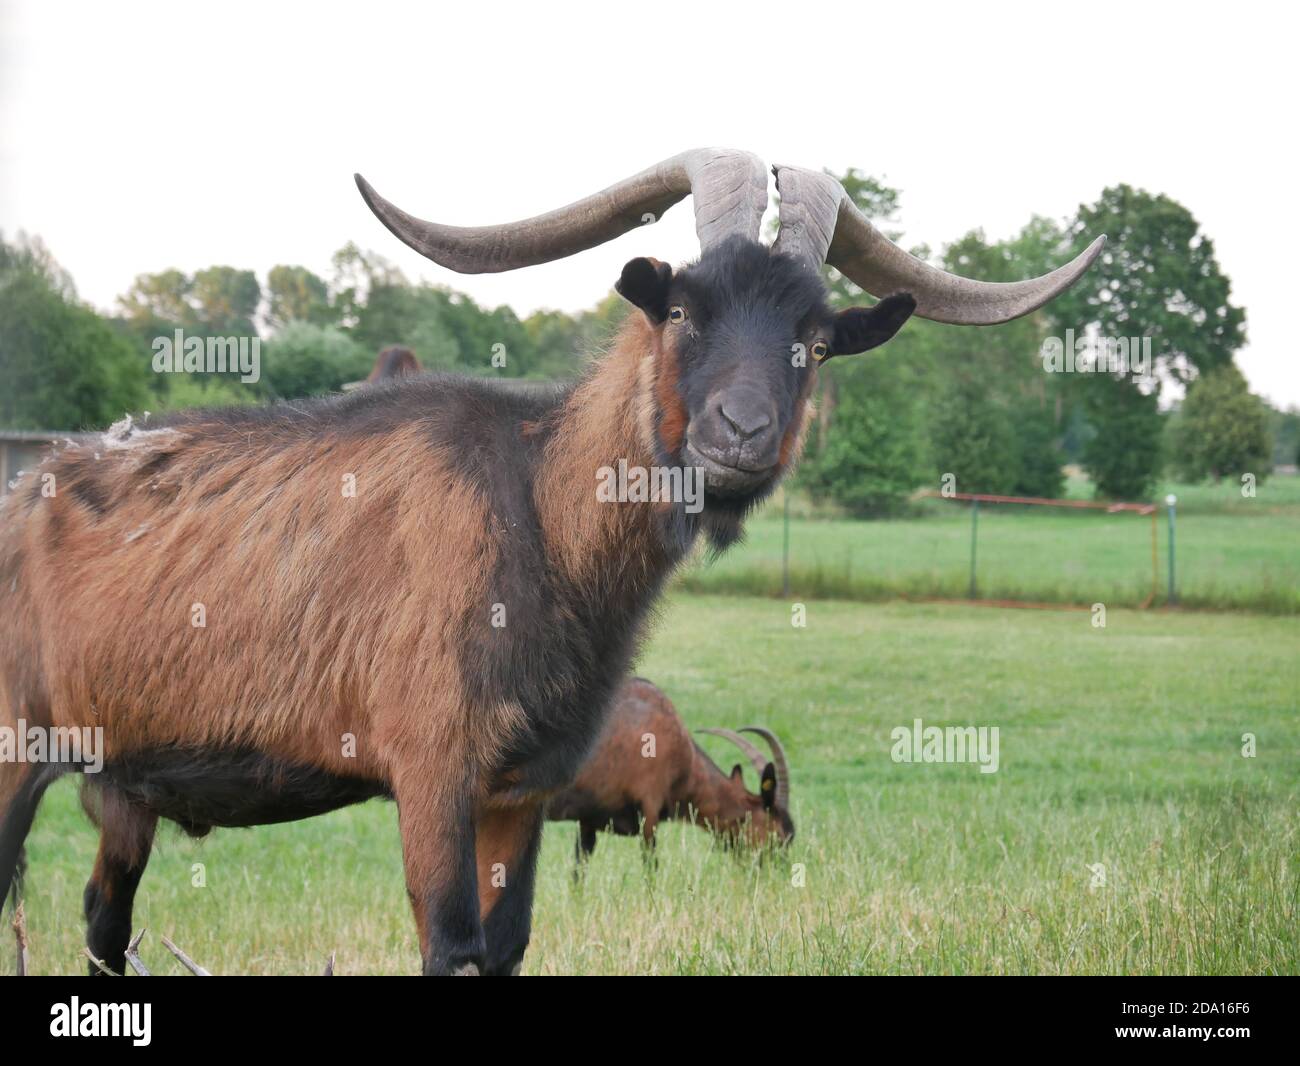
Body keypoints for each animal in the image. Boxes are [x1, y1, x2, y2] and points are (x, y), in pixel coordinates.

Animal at [546, 678, 792, 861]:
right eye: (780, 835)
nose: (776, 873)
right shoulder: (650, 808)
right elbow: (650, 864)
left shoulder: (588, 819)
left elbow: (580, 867)